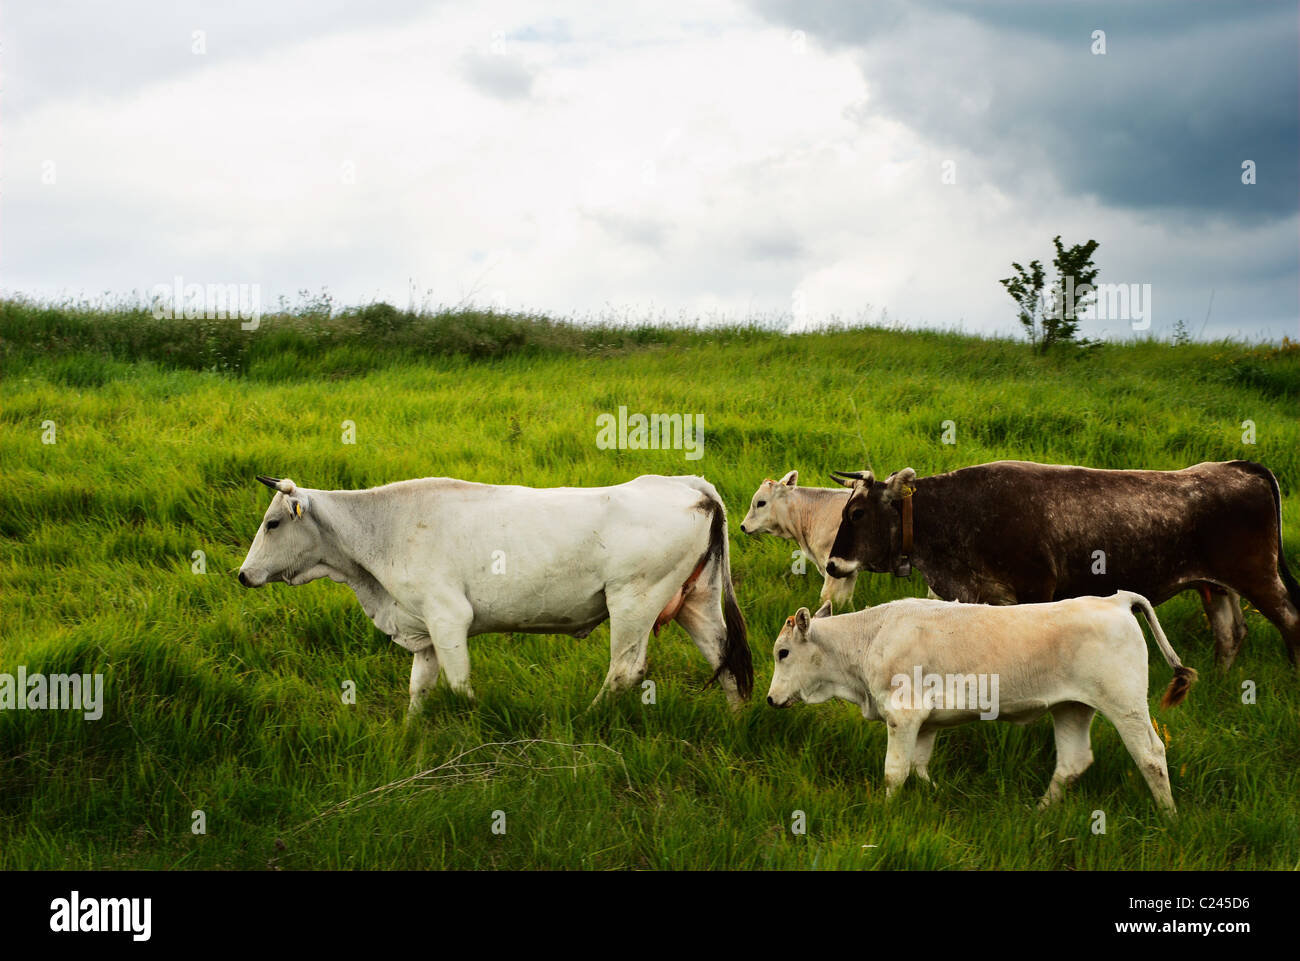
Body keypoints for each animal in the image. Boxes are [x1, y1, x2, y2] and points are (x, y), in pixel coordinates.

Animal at [237, 474, 752, 714]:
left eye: (273, 523)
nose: (242, 575)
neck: (386, 528)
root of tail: (688, 485)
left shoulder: (448, 619)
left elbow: (458, 683)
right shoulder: (423, 629)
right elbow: (418, 689)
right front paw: (410, 735)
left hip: (633, 602)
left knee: (625, 670)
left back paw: (589, 718)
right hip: (695, 603)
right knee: (724, 658)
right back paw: (735, 721)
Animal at [765, 591, 1196, 813]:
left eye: (783, 652)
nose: (770, 699)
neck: (872, 636)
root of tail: (1115, 598)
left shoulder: (903, 716)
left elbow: (895, 772)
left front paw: (885, 813)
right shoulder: (925, 723)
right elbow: (920, 767)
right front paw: (939, 793)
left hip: (1125, 706)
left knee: (1151, 756)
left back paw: (1169, 817)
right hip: (1072, 707)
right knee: (1073, 762)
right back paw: (1038, 812)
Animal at [824, 460, 1300, 668]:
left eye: (857, 514)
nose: (830, 565)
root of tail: (1236, 467)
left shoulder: (1036, 590)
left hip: (1258, 576)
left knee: (1291, 621)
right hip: (1217, 585)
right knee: (1230, 634)